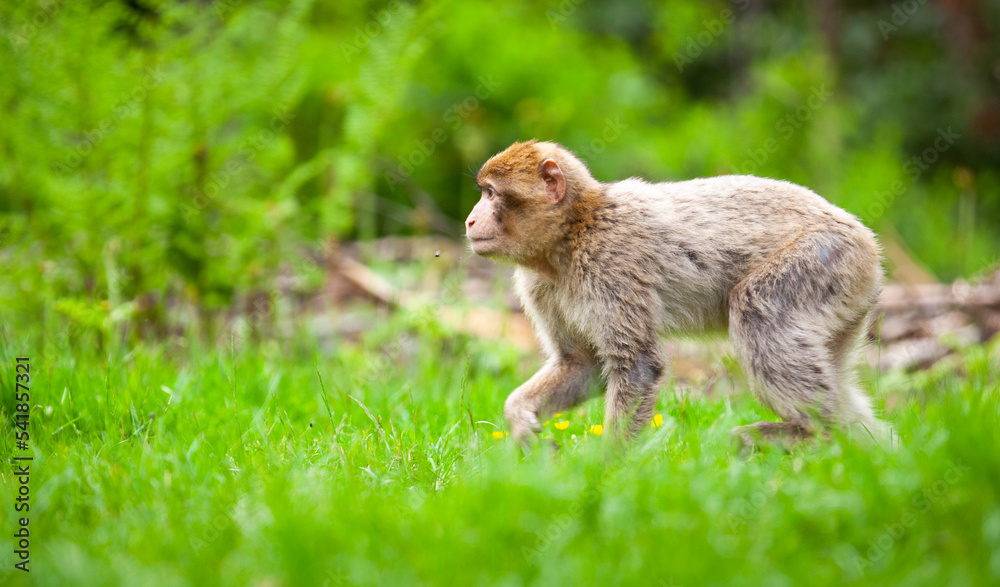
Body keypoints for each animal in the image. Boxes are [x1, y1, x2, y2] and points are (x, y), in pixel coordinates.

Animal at [465, 139, 890, 451]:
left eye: (491, 194)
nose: (470, 220)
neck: (573, 233)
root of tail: (867, 240)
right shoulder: (540, 286)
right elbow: (582, 363)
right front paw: (519, 415)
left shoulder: (610, 264)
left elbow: (638, 366)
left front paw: (607, 468)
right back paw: (861, 446)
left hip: (828, 258)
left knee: (758, 307)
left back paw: (816, 432)